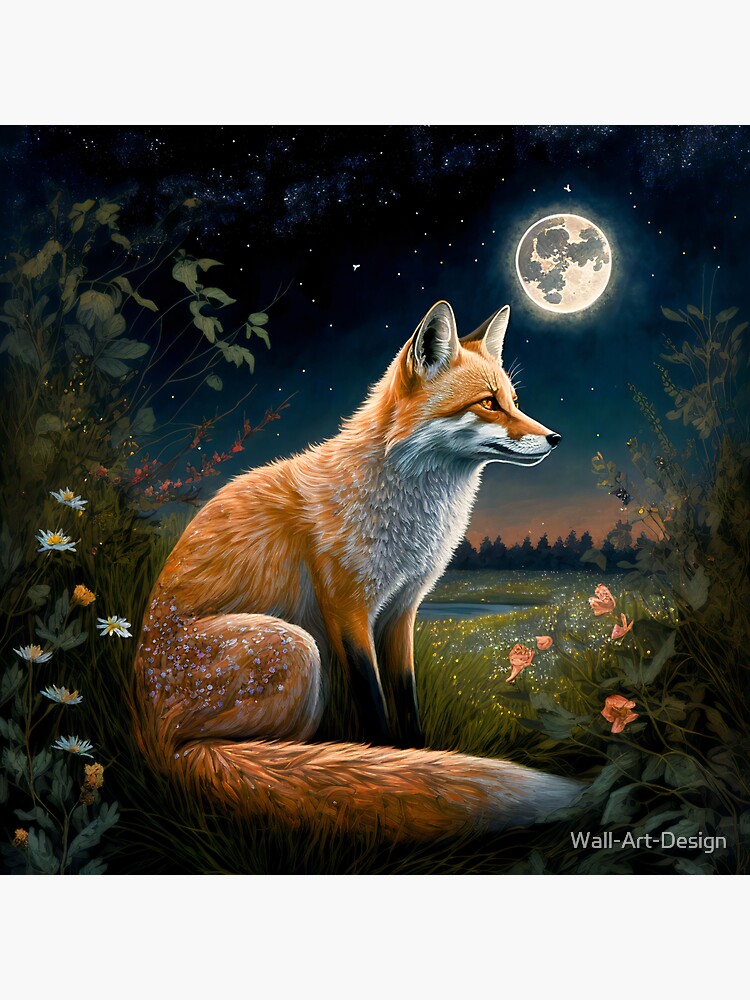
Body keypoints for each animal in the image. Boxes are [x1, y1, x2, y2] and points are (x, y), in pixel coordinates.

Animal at [133, 300, 582, 844]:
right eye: (488, 403)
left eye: (514, 401)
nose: (555, 439)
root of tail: (155, 737)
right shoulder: (346, 607)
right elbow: (374, 704)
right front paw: (391, 764)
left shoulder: (402, 609)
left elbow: (406, 698)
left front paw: (418, 756)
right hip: (297, 648)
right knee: (259, 754)